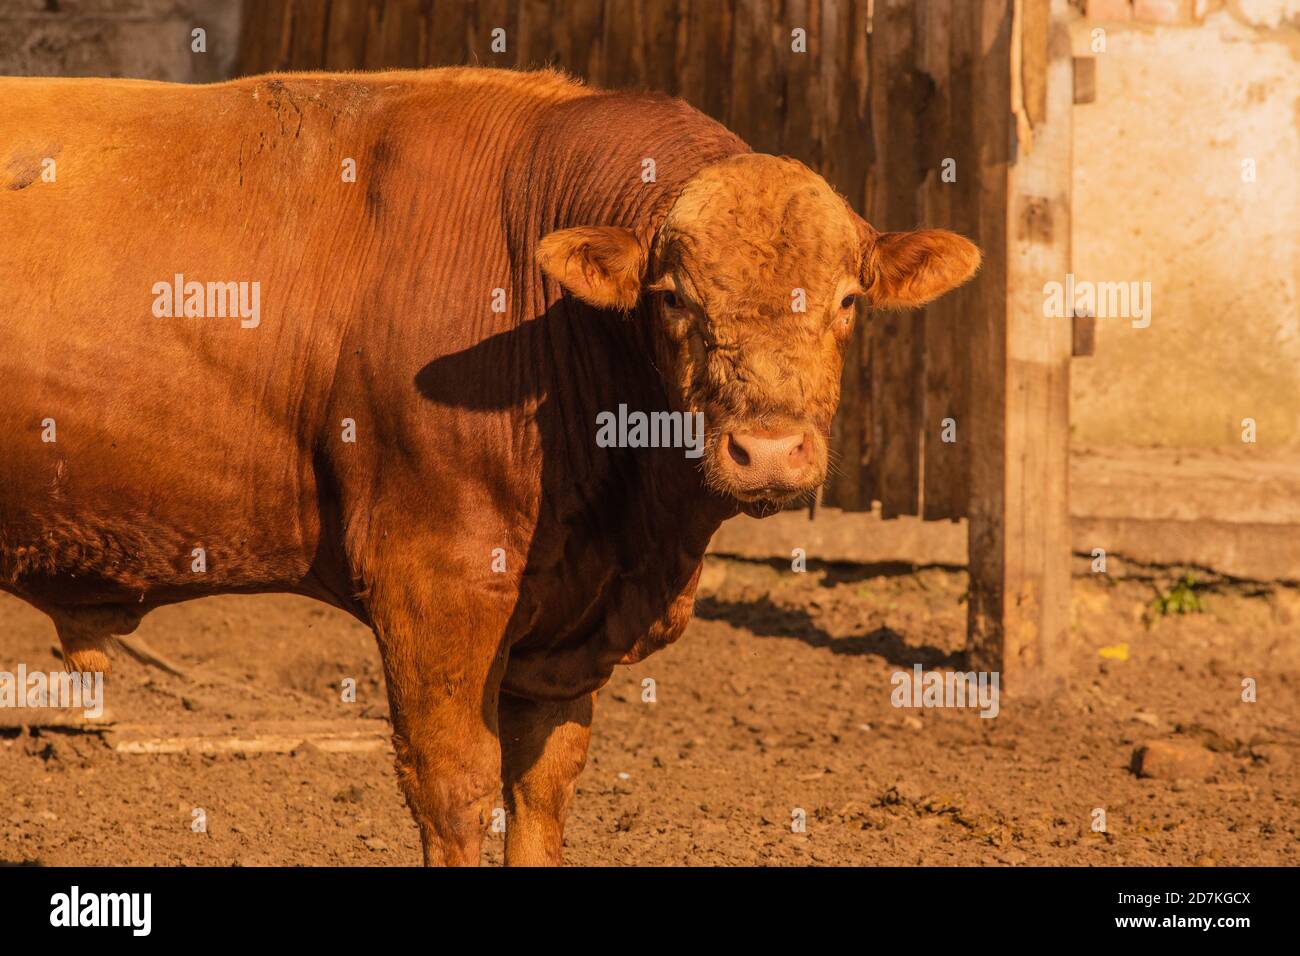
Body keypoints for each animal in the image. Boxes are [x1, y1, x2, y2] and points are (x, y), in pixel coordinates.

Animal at [0, 68, 979, 865]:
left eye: (848, 300)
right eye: (672, 298)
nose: (769, 450)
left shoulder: (565, 633)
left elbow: (541, 790)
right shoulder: (436, 580)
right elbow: (456, 789)